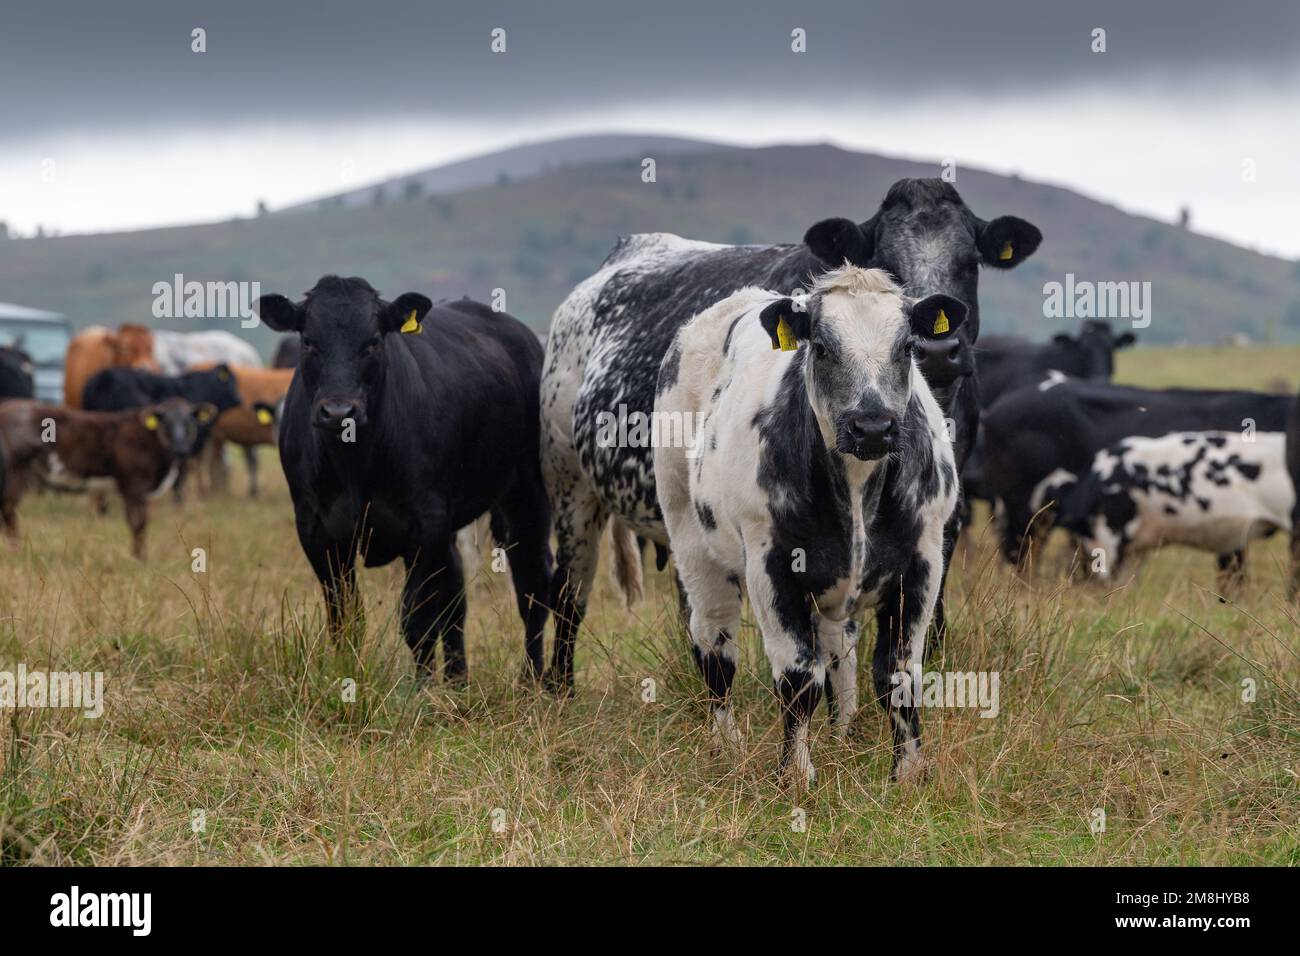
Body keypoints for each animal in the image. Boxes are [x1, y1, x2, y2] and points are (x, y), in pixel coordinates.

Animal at [0, 398, 216, 558]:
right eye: (167, 423)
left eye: (189, 422)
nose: (182, 449)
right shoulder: (134, 485)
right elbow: (138, 522)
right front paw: (139, 558)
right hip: (15, 470)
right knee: (9, 509)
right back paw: (15, 551)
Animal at [253, 277, 552, 682]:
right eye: (309, 341)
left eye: (373, 341)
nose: (338, 411)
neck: (355, 465)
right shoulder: (316, 530)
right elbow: (345, 617)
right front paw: (349, 671)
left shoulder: (425, 524)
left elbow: (417, 617)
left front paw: (420, 688)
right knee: (457, 597)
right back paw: (458, 680)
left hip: (528, 495)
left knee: (532, 585)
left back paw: (531, 679)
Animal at [540, 177, 1041, 692]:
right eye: (888, 263)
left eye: (969, 262)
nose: (939, 350)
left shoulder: (940, 522)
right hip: (570, 485)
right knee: (570, 593)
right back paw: (560, 687)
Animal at [655, 267, 964, 784]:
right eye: (820, 347)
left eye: (906, 347)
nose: (872, 426)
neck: (857, 488)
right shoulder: (773, 567)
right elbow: (798, 678)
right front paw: (796, 776)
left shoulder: (922, 564)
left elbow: (899, 675)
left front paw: (908, 773)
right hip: (692, 539)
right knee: (714, 645)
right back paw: (727, 743)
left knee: (838, 650)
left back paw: (842, 732)